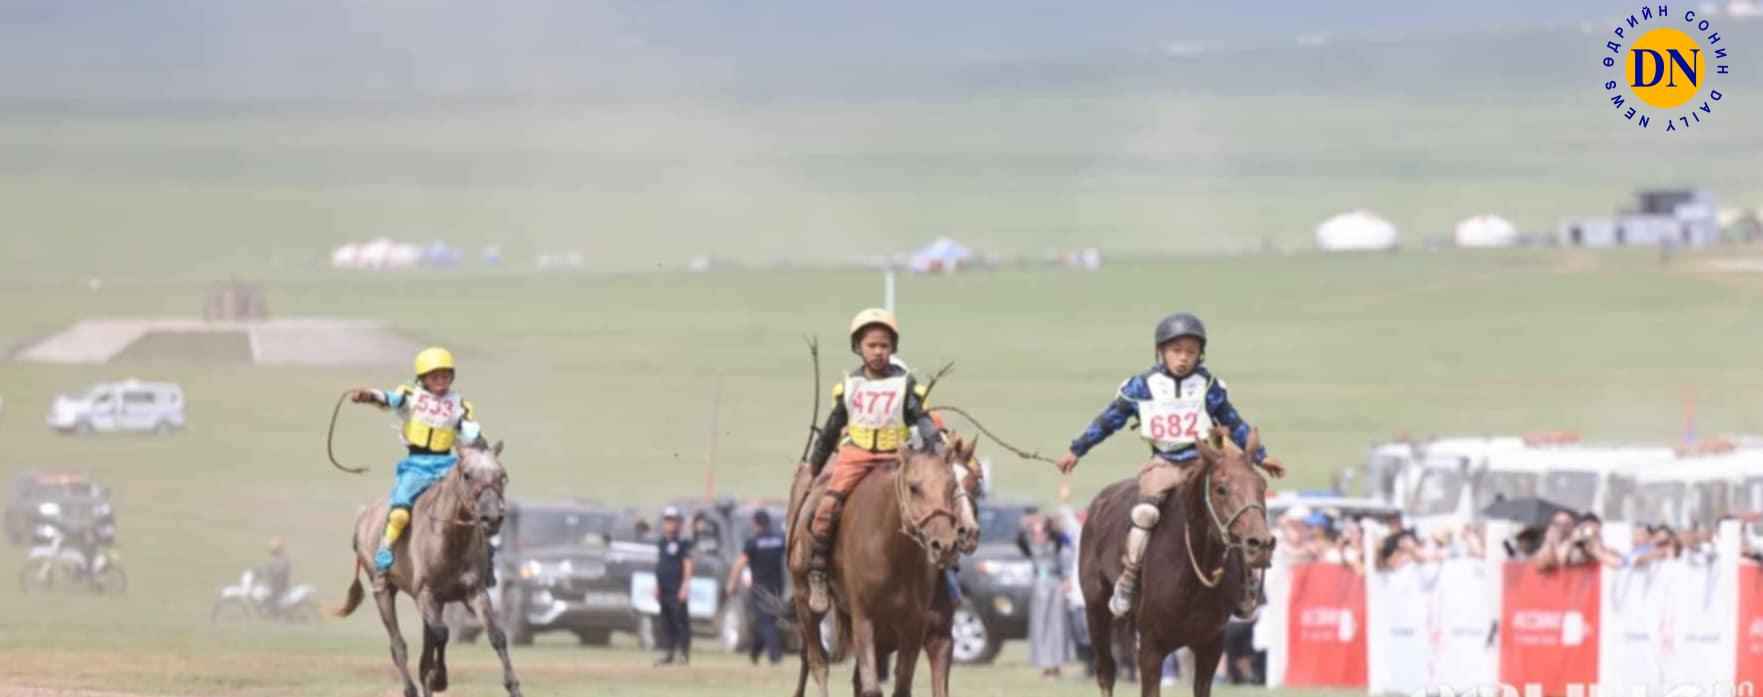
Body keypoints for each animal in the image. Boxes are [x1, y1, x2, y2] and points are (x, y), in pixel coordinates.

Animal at [334, 441, 522, 697]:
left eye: (502, 475)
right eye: (467, 475)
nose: (491, 518)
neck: (450, 540)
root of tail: (363, 515)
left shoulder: (474, 593)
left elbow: (497, 636)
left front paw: (513, 685)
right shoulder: (425, 594)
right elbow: (442, 634)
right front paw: (440, 678)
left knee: (423, 656)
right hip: (383, 588)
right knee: (398, 646)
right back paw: (411, 688)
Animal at [786, 436, 972, 697]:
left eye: (951, 486)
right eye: (914, 487)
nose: (944, 545)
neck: (891, 551)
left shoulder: (917, 627)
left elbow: (904, 686)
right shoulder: (864, 618)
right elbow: (871, 687)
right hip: (806, 603)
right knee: (817, 662)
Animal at [1079, 429, 1274, 697]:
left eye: (1261, 486)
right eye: (1221, 489)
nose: (1260, 543)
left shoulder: (1210, 645)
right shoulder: (1150, 648)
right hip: (1095, 610)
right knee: (1106, 671)